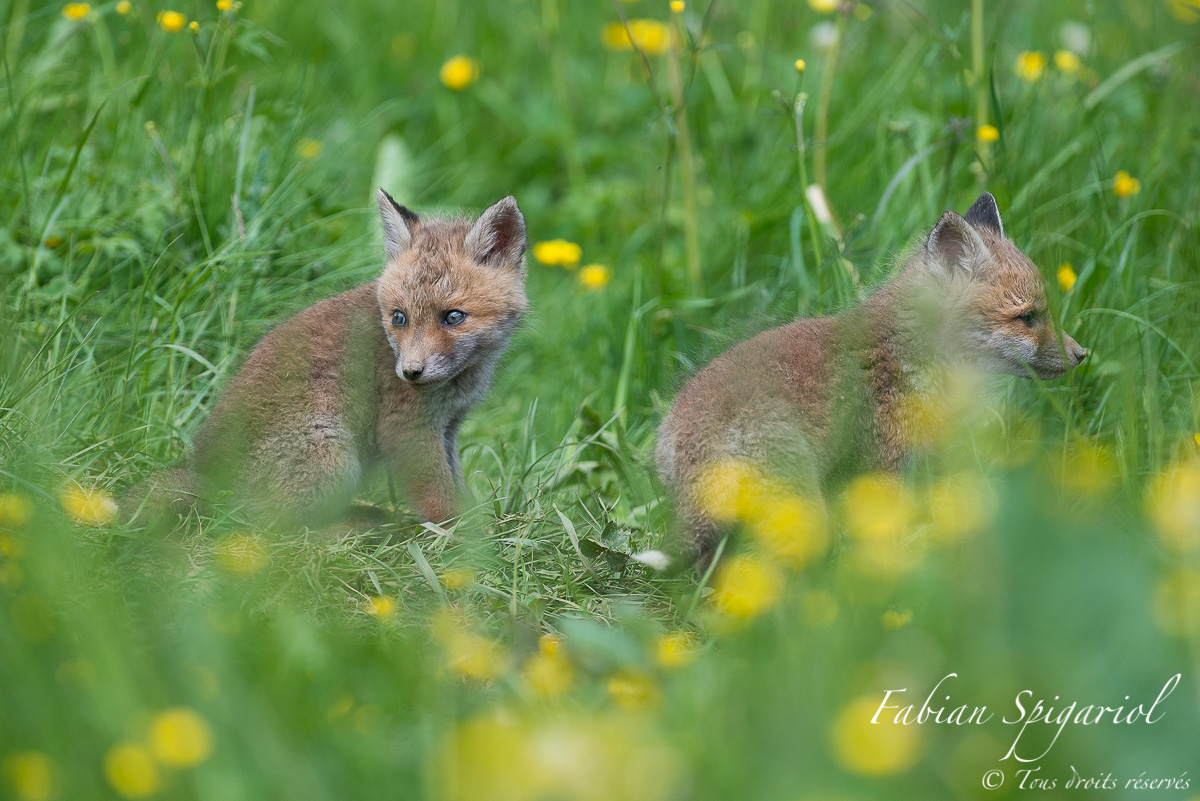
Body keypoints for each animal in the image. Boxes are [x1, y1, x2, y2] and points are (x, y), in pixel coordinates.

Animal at [125, 190, 528, 528]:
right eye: (399, 318)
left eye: (453, 317)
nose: (410, 373)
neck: (462, 379)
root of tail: (204, 470)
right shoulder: (408, 430)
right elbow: (442, 501)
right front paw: (471, 541)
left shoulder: (448, 428)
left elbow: (459, 484)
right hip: (332, 456)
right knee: (258, 526)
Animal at [655, 193, 1087, 568]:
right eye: (1027, 317)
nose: (1082, 354)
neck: (908, 356)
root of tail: (684, 436)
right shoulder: (884, 468)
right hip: (797, 505)